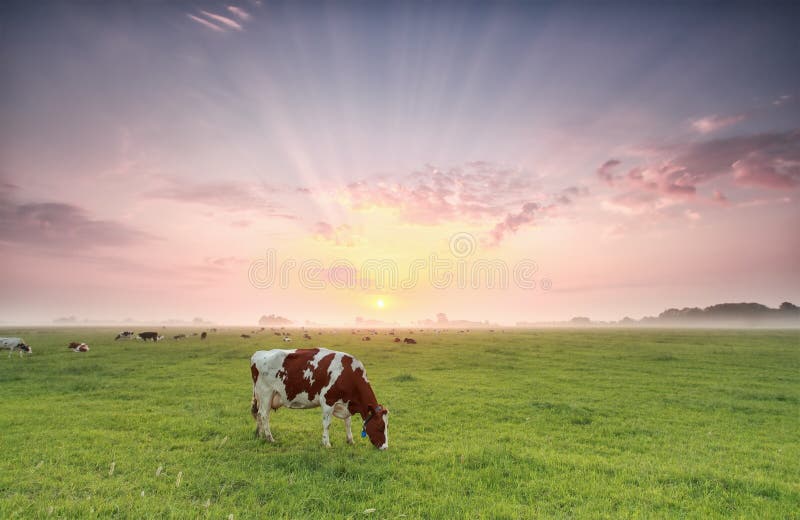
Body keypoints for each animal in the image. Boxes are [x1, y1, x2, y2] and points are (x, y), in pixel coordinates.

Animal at [250, 348, 389, 449]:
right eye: (380, 427)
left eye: (387, 426)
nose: (385, 447)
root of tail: (259, 353)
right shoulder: (328, 401)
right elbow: (327, 424)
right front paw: (326, 443)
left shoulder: (345, 403)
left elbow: (348, 423)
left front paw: (350, 440)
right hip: (266, 393)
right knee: (264, 415)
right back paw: (270, 438)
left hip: (260, 396)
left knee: (258, 414)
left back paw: (260, 435)